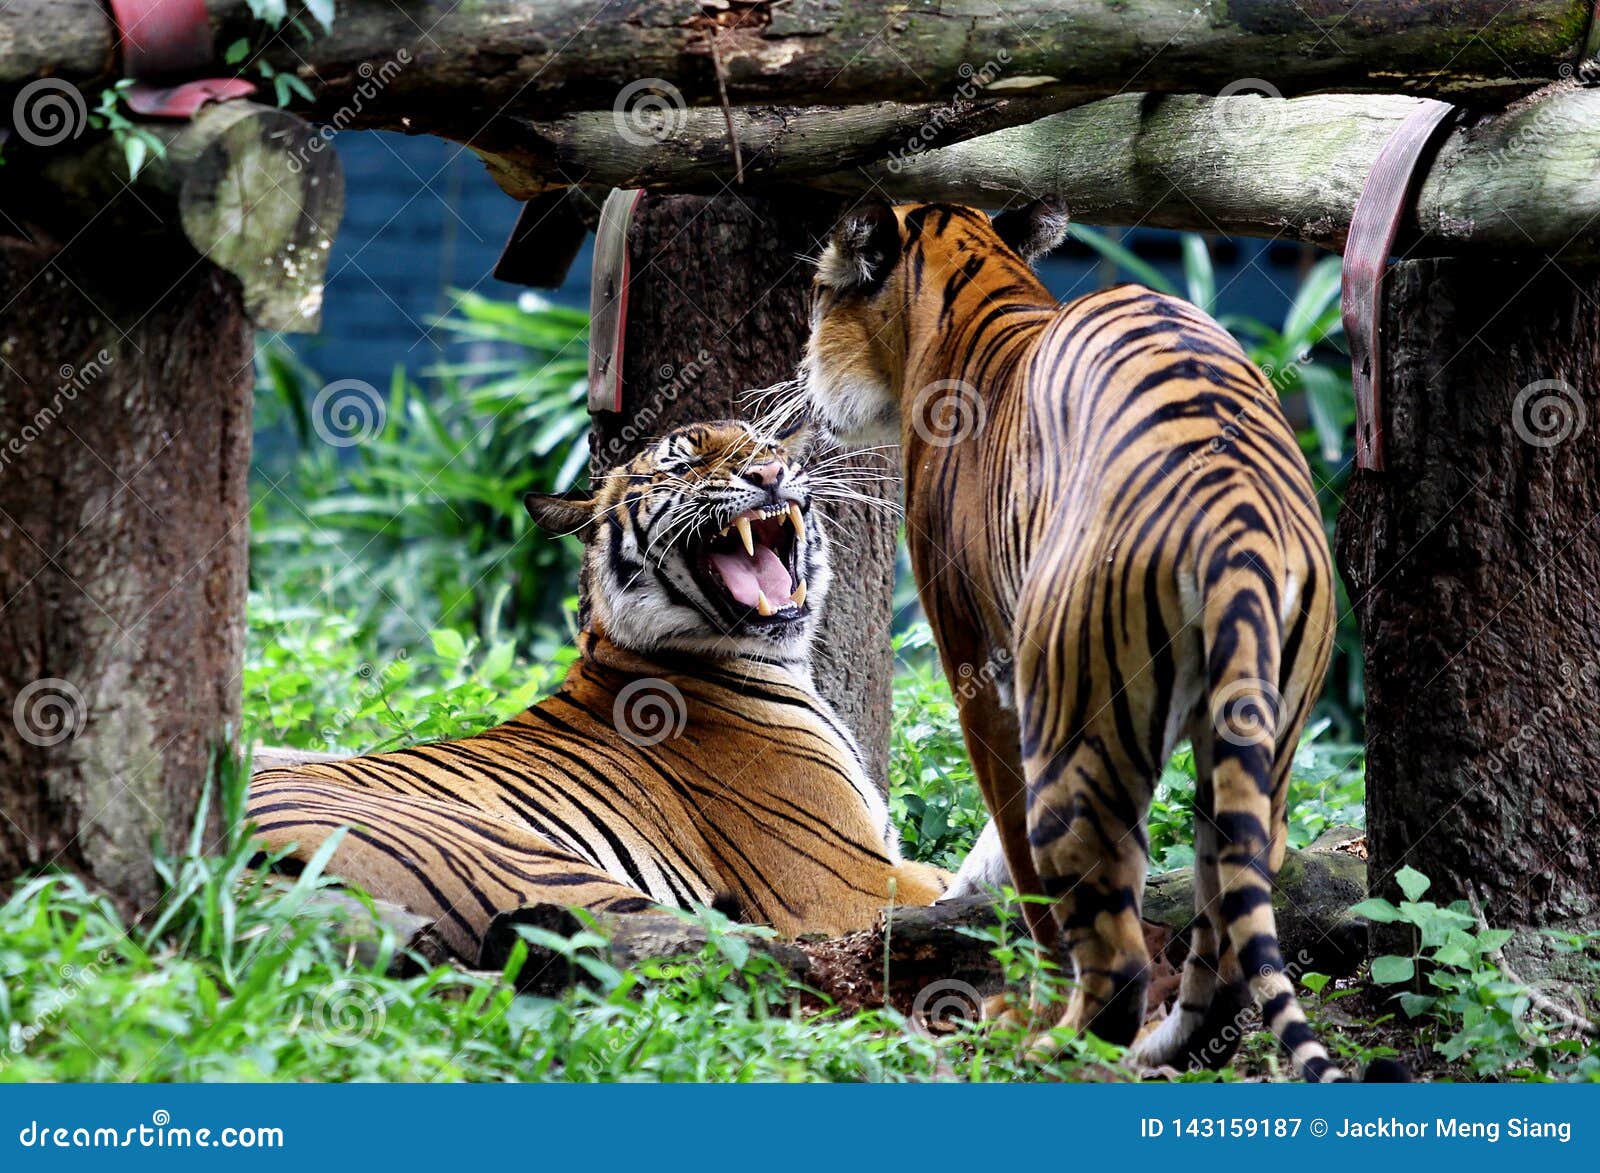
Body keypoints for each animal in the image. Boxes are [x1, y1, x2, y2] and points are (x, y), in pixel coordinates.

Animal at [802, 200, 1402, 1082]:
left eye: (820, 289)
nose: (806, 374)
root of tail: (1237, 517)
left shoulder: (977, 666)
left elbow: (1012, 836)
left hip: (1077, 729)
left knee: (1115, 953)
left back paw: (1048, 1040)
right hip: (1262, 742)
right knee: (1232, 925)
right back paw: (1174, 1044)